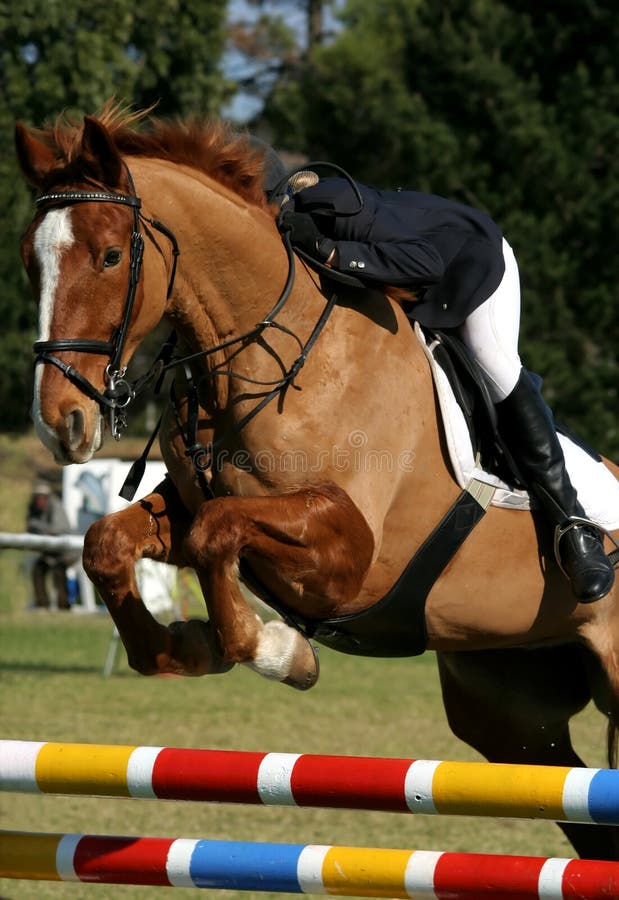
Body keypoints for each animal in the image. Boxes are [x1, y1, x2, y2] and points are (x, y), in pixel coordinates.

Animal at [15, 103, 619, 860]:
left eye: (110, 257)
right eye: (28, 260)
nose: (59, 423)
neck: (265, 359)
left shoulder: (351, 557)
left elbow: (217, 534)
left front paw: (278, 650)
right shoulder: (189, 507)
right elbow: (109, 542)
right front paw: (186, 646)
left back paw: (585, 554)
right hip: (510, 712)